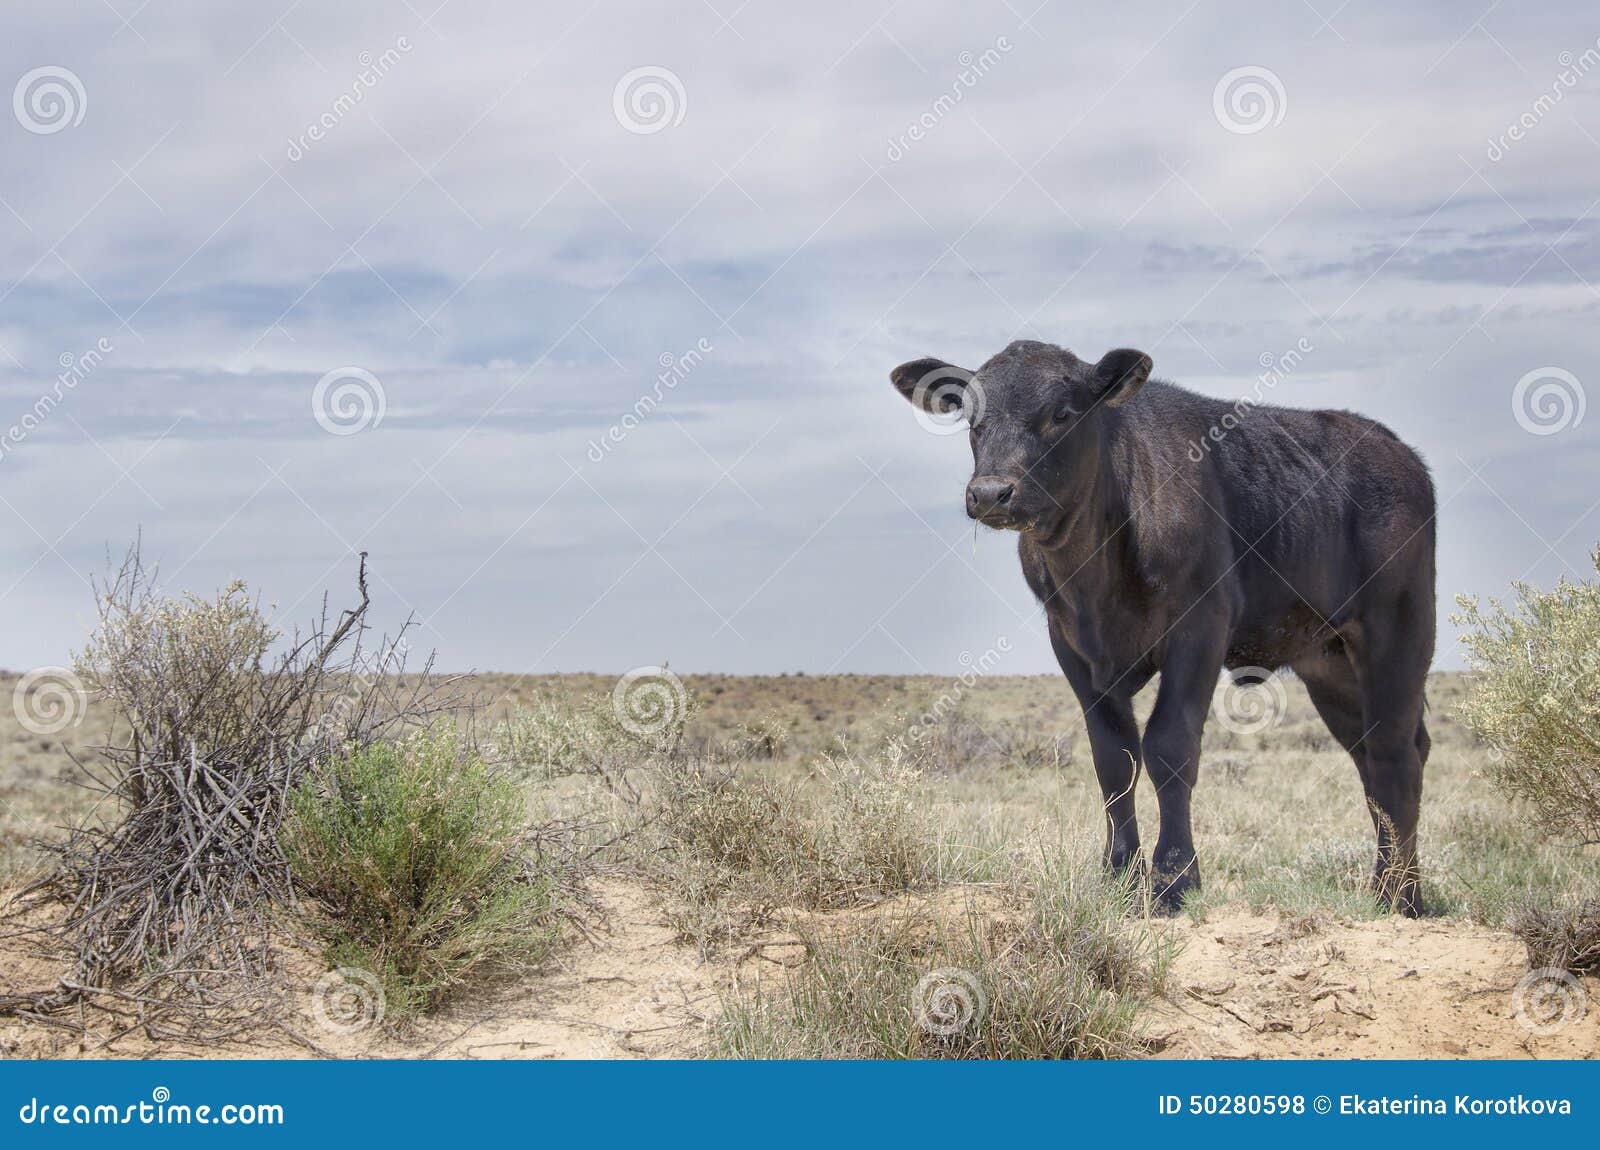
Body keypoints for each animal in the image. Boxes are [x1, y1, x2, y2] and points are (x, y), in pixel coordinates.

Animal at [890, 339, 1436, 915]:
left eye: (1062, 413)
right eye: (972, 419)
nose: (992, 492)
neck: (1095, 578)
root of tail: (1394, 448)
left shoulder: (1201, 629)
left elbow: (1169, 745)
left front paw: (1174, 879)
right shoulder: (1072, 646)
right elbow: (1114, 759)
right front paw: (1118, 876)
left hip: (1399, 628)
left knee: (1395, 752)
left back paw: (1401, 896)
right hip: (1328, 663)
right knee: (1373, 755)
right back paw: (1391, 885)